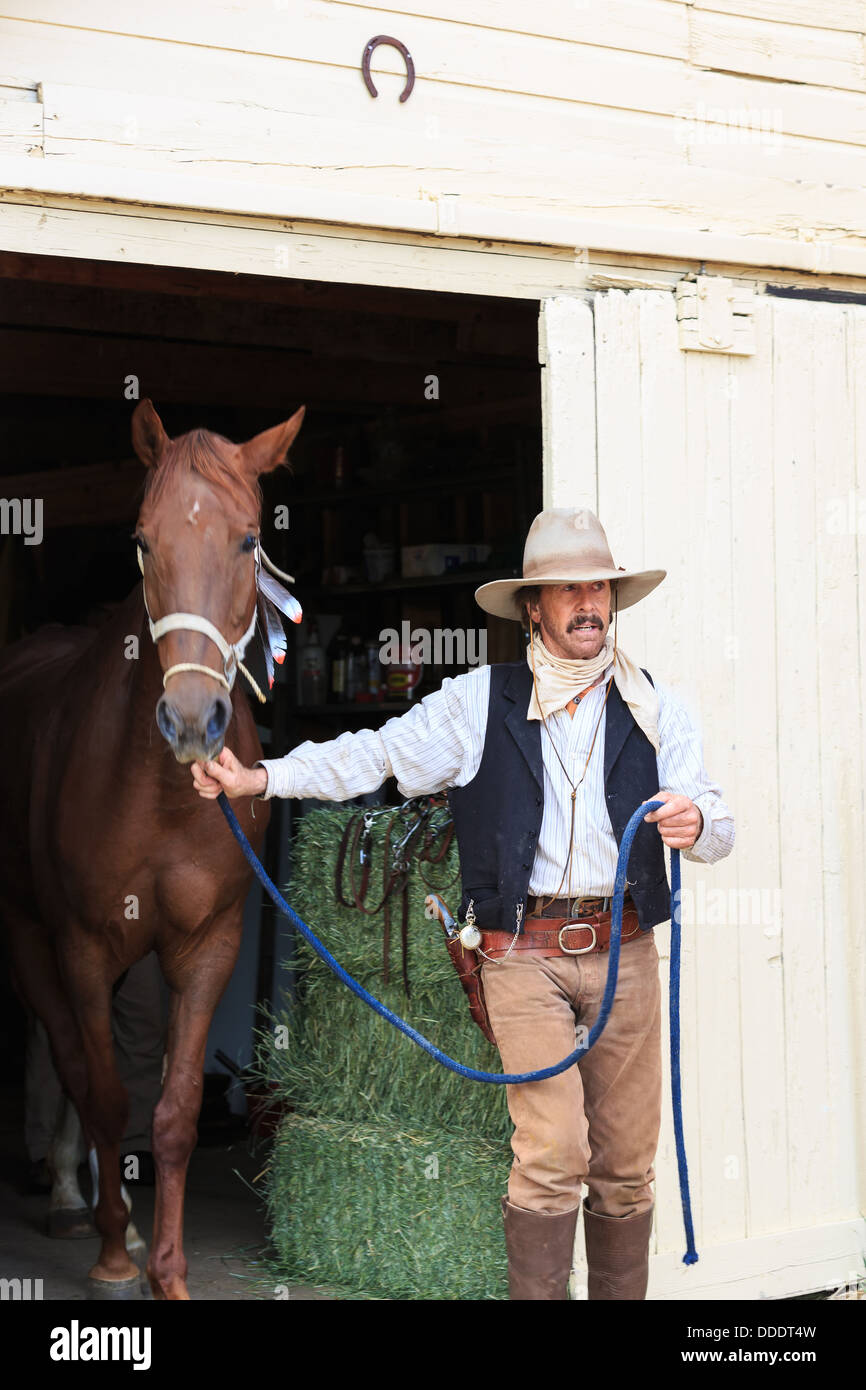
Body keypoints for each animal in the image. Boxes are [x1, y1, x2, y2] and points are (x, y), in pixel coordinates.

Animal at [0, 398, 305, 1299]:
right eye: (142, 539)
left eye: (248, 539)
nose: (194, 722)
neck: (164, 796)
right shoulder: (83, 944)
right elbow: (101, 1093)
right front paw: (110, 1260)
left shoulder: (208, 946)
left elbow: (170, 1113)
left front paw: (166, 1271)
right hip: (29, 935)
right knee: (61, 1055)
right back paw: (79, 1203)